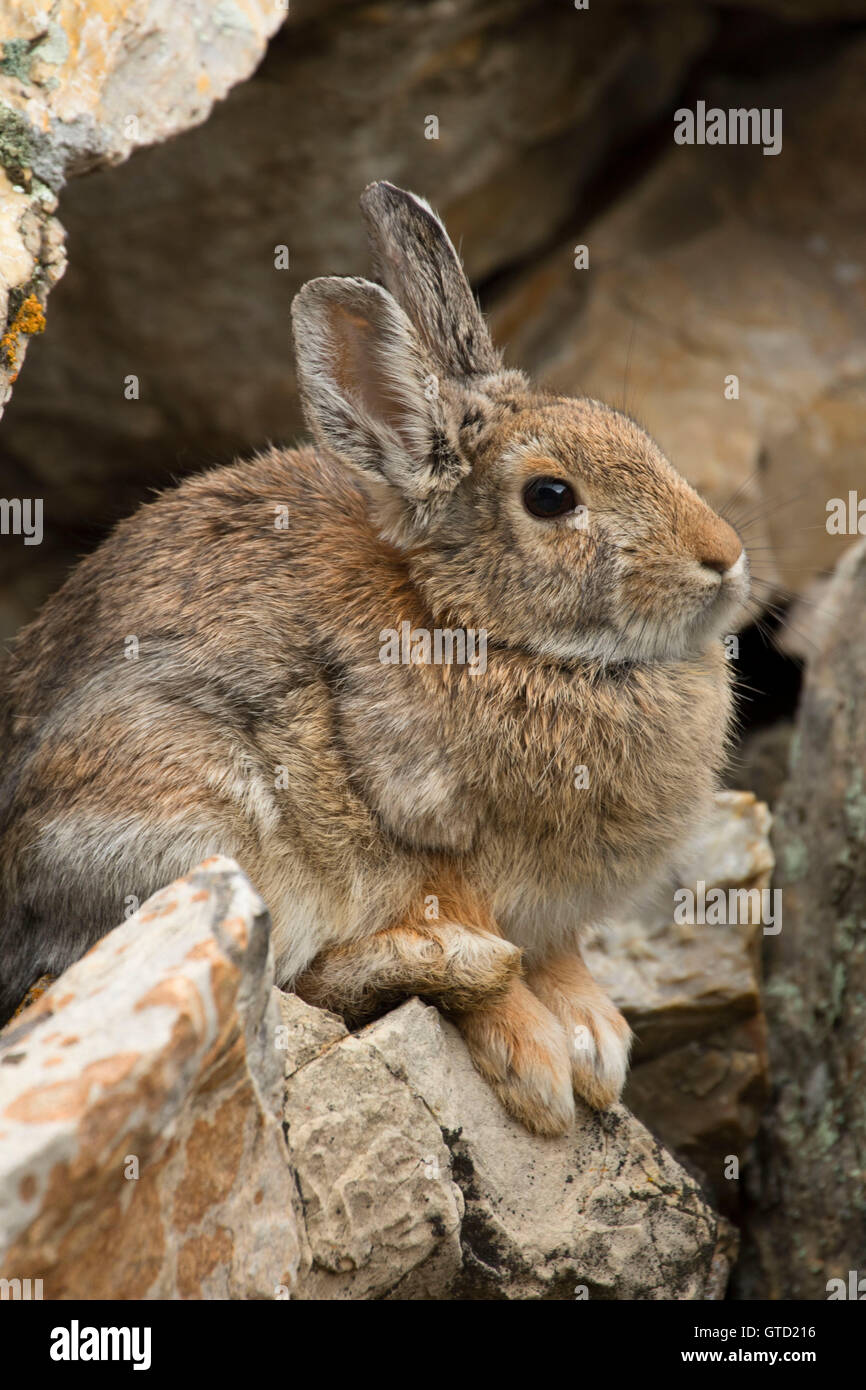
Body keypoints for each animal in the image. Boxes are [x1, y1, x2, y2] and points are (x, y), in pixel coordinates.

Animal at [0, 181, 748, 1134]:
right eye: (551, 497)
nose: (724, 556)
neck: (473, 622)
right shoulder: (422, 847)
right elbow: (474, 948)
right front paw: (540, 1072)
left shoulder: (555, 917)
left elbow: (560, 958)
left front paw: (595, 1038)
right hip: (188, 818)